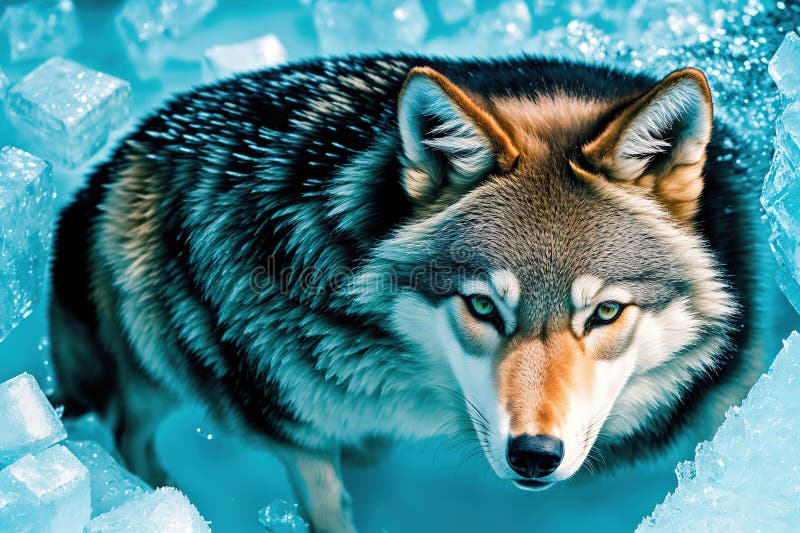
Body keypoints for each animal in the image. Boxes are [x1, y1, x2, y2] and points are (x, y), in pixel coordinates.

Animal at [49, 54, 765, 532]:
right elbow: (323, 497)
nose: (534, 456)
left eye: (606, 312)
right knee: (127, 431)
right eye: (482, 306)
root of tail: (115, 157)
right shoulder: (280, 409)